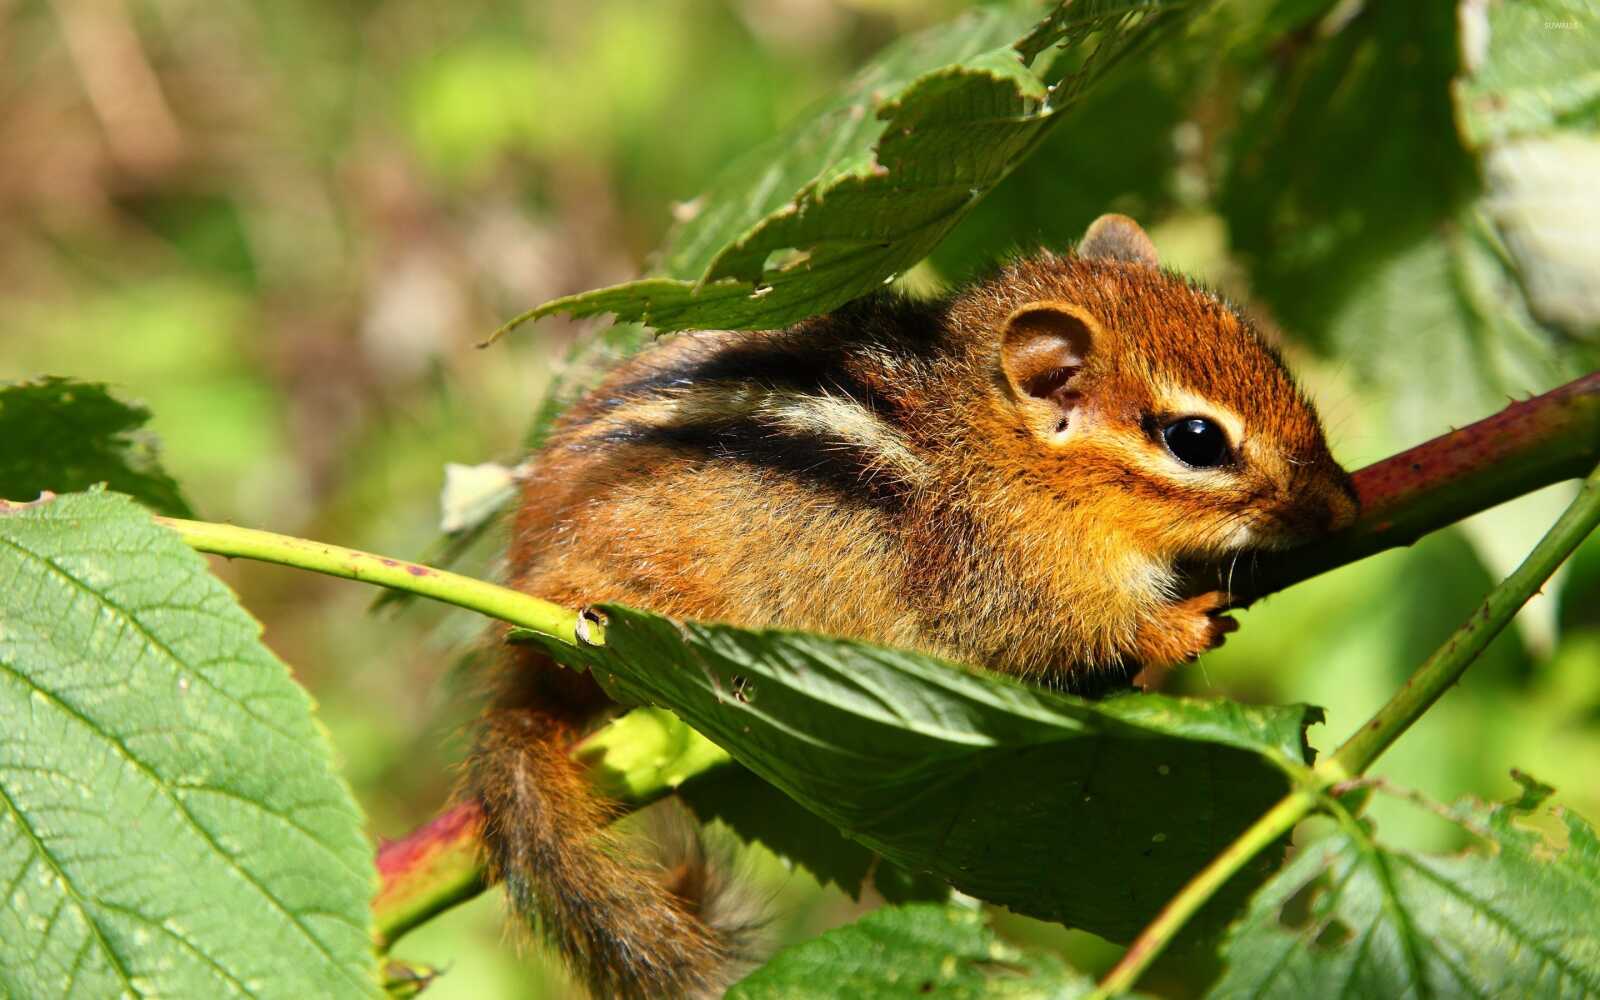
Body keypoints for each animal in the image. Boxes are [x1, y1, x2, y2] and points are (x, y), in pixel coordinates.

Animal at [467, 214, 1358, 998]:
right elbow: (1066, 632)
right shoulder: (998, 582)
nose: (1344, 504)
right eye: (1196, 440)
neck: (998, 447)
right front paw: (1174, 626)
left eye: (1271, 356)